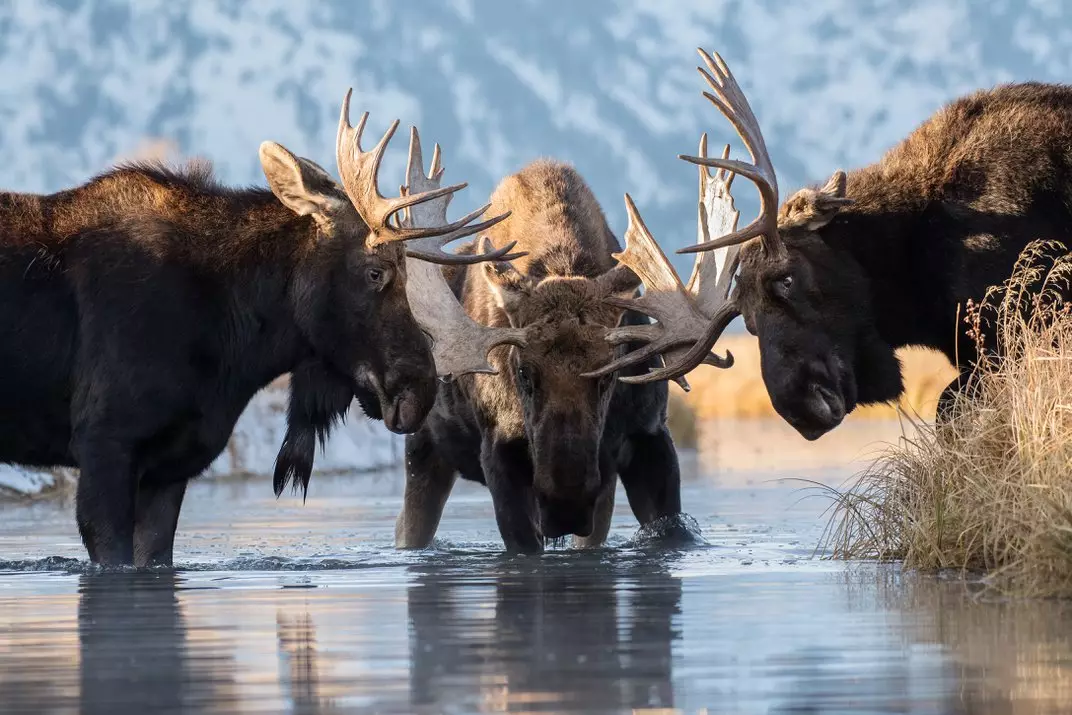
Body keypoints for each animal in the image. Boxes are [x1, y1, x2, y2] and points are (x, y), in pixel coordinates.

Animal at [388, 133, 703, 553]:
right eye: (524, 372)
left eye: (609, 374)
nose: (565, 505)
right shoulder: (500, 451)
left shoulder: (650, 436)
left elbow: (671, 531)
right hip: (423, 448)